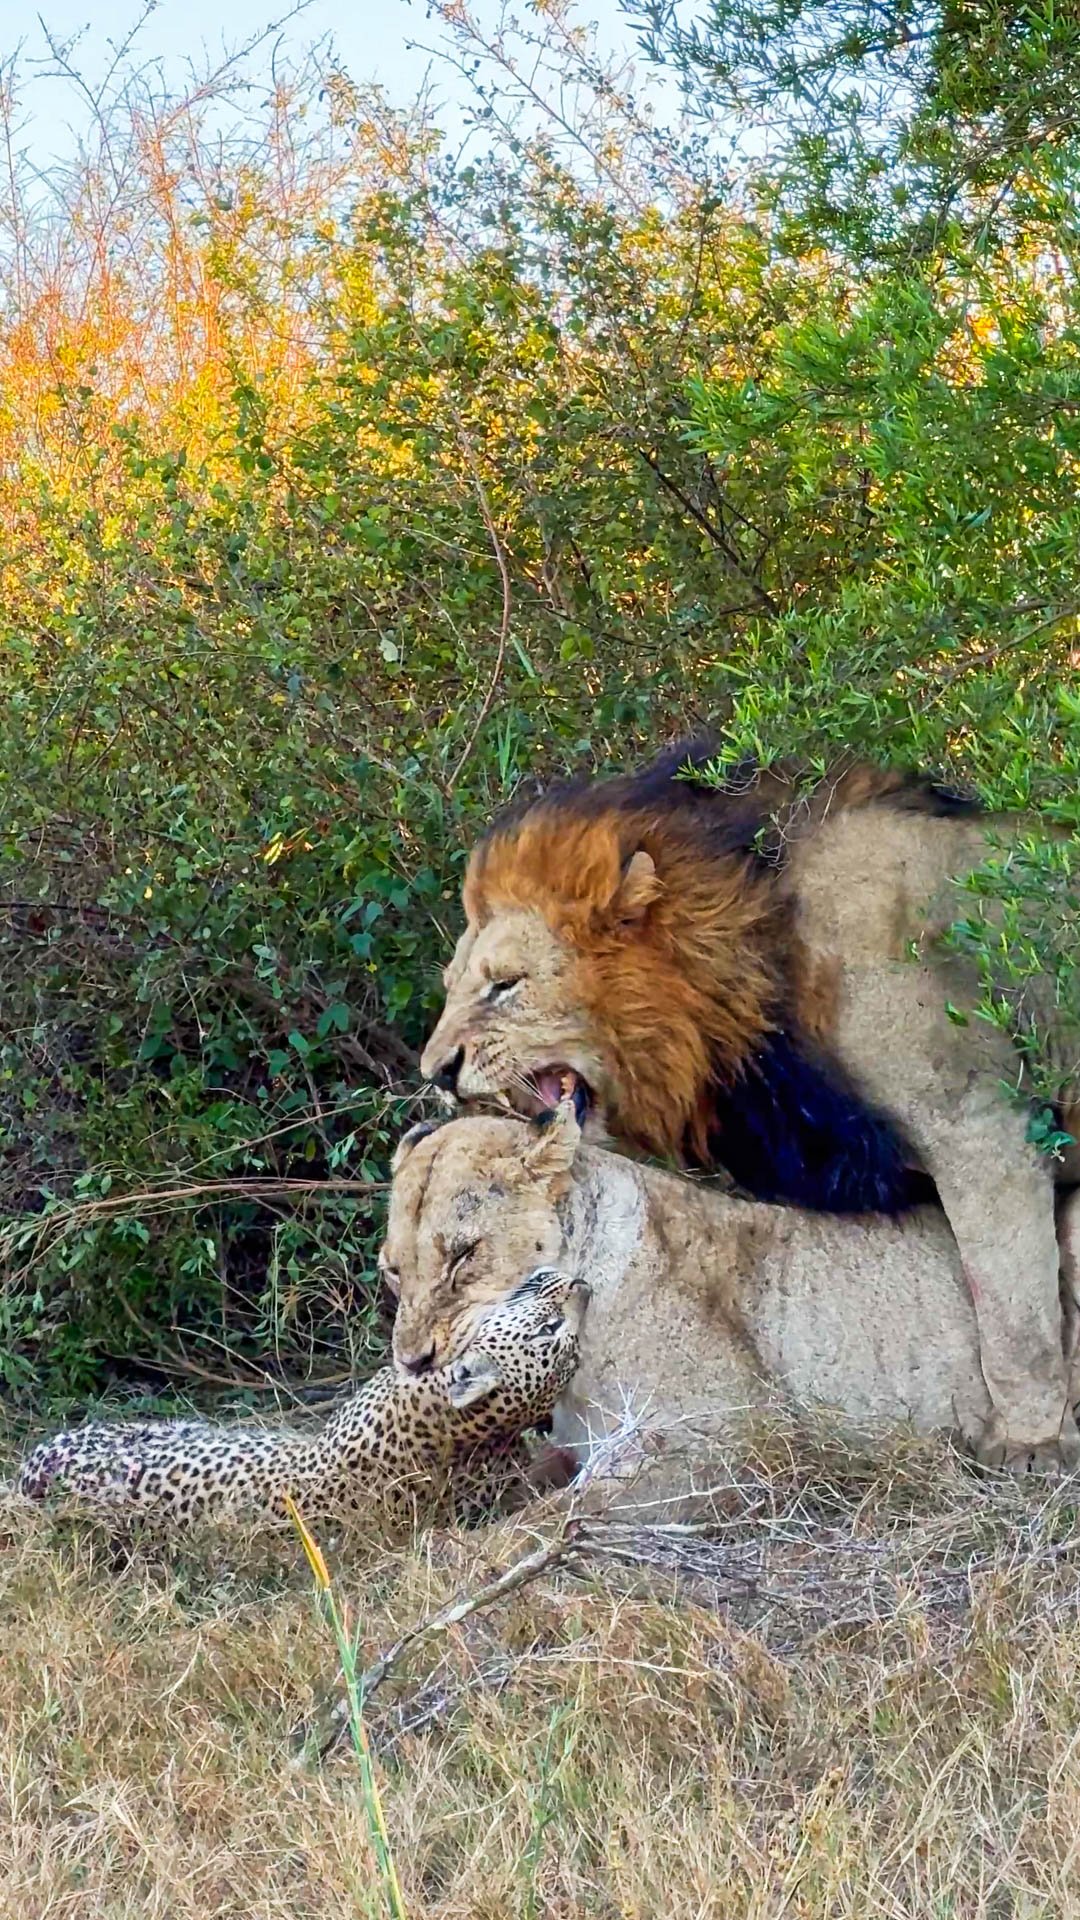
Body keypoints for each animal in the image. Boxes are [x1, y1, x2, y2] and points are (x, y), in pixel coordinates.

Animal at [385, 1100, 1080, 1509]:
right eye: (393, 1271)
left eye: (463, 1255)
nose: (413, 1362)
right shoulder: (574, 1449)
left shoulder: (733, 1445)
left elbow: (547, 1524)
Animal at [419, 742, 1080, 1472]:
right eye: (454, 986)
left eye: (506, 985)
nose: (436, 1071)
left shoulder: (978, 1128)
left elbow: (1016, 1319)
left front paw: (1030, 1445)